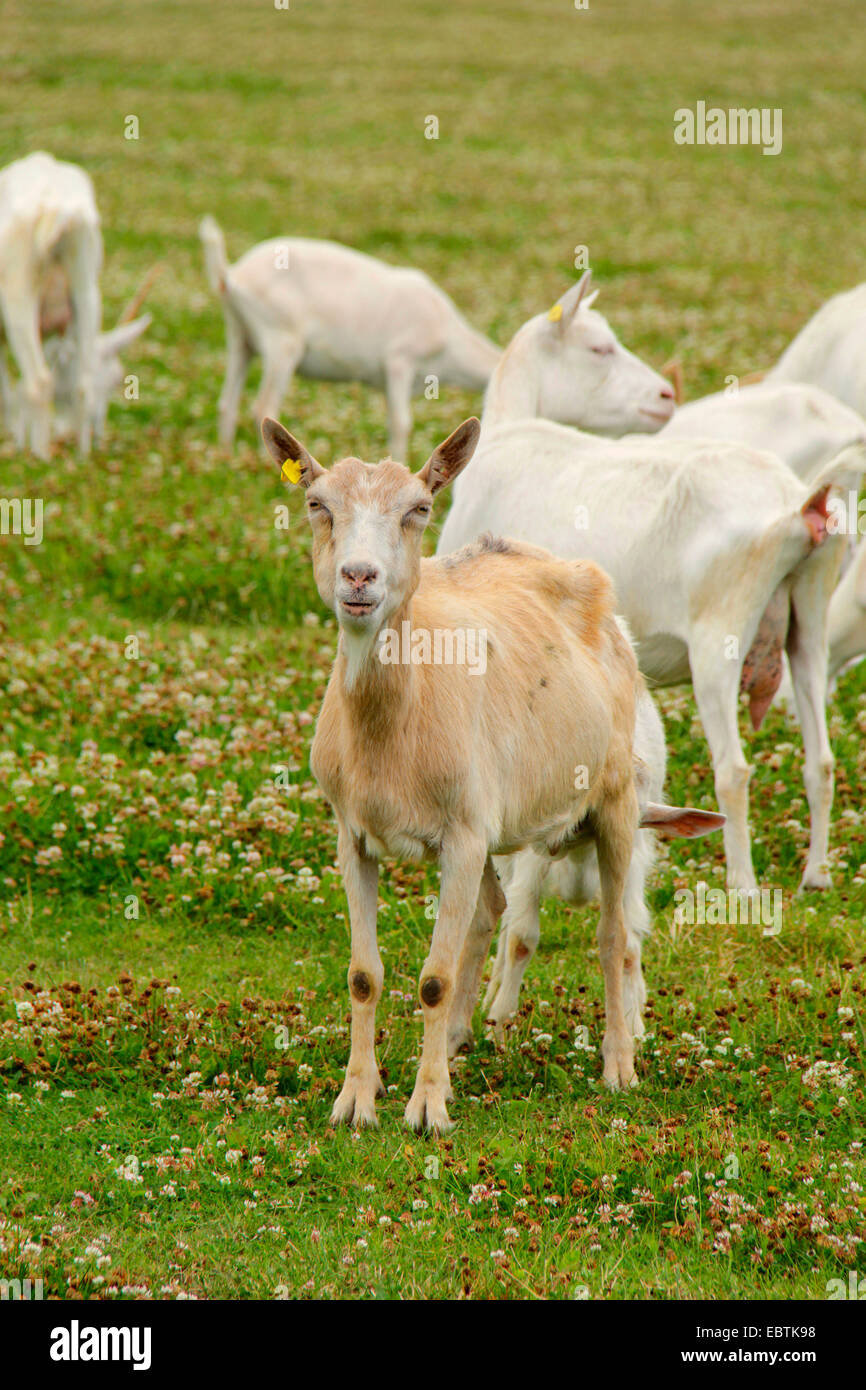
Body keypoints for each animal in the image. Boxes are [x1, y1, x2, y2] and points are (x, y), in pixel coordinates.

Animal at [202, 216, 500, 460]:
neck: (448, 339)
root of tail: (230, 275)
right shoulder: (400, 360)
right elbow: (402, 424)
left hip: (240, 337)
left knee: (227, 404)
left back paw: (226, 459)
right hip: (281, 341)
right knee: (263, 407)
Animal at [262, 412, 690, 1131]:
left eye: (418, 508)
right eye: (317, 504)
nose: (359, 577)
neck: (393, 732)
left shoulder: (461, 834)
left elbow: (433, 978)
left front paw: (427, 1108)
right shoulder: (353, 833)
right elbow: (363, 974)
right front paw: (356, 1100)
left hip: (615, 797)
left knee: (613, 935)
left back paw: (618, 1065)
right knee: (492, 909)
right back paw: (462, 1039)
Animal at [437, 294, 866, 893]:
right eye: (600, 347)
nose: (665, 397)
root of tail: (801, 502)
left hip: (720, 637)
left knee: (734, 770)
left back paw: (742, 884)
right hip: (809, 616)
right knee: (820, 758)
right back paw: (817, 876)